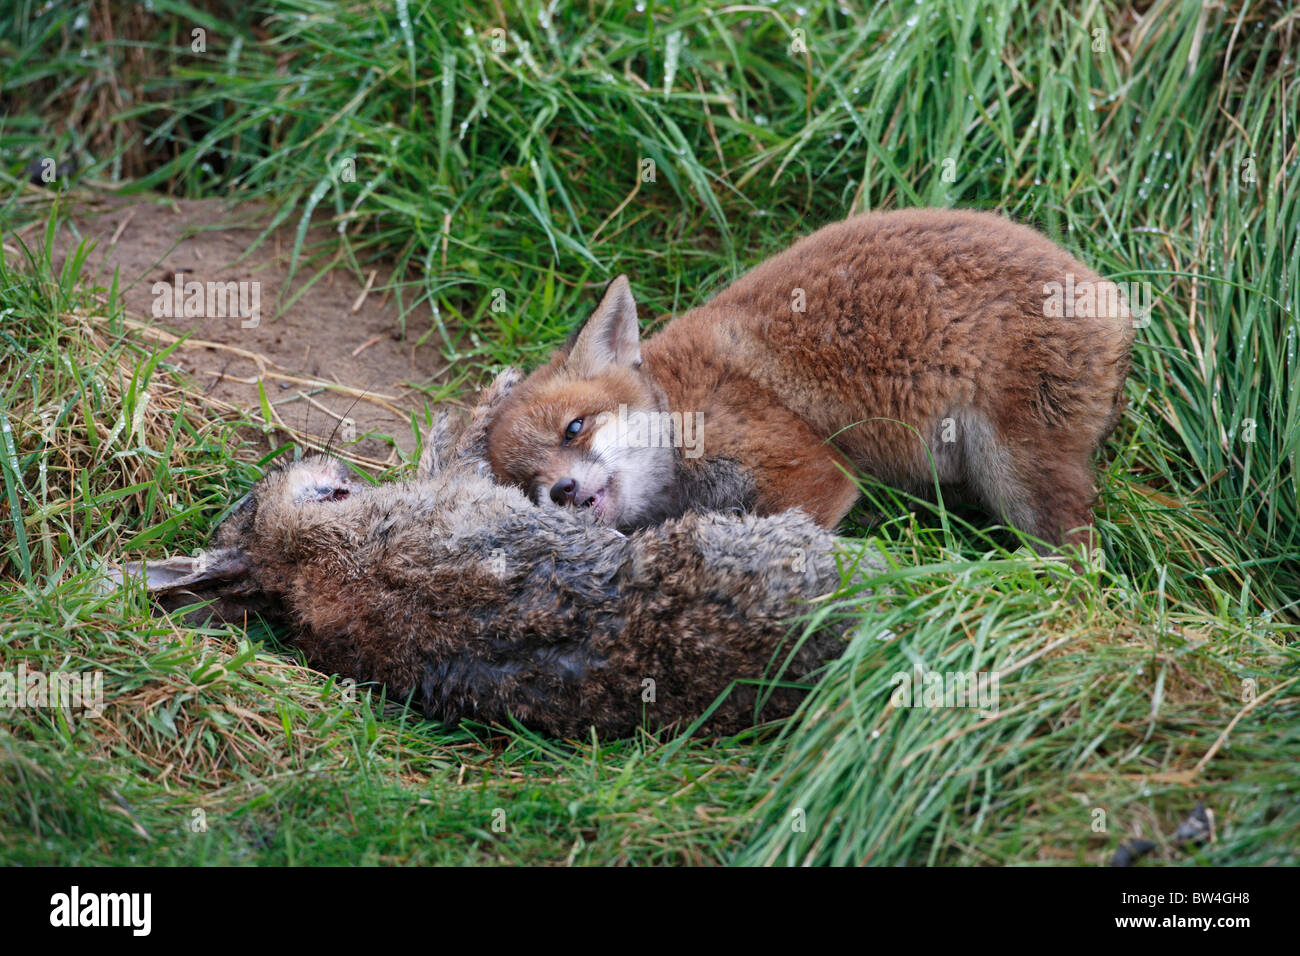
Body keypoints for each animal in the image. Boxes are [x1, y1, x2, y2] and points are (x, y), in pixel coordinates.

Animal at [486, 208, 1135, 550]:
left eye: (573, 429)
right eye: (524, 485)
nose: (562, 490)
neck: (678, 411)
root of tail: (1113, 295)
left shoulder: (810, 472)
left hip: (1019, 474)